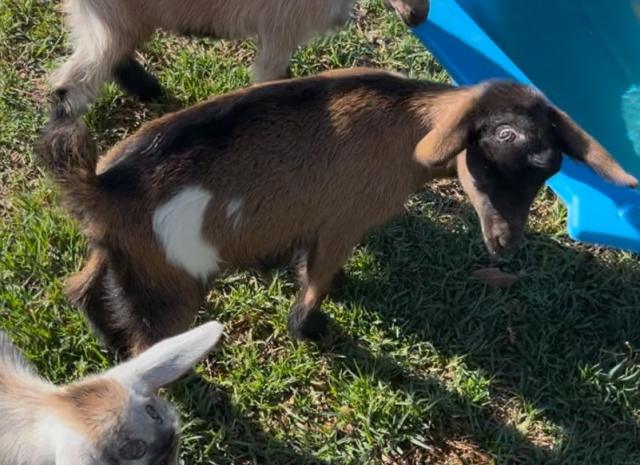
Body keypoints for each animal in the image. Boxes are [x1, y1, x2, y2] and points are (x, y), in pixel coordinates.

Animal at [37, 68, 638, 356]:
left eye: (549, 169)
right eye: (494, 145)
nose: (506, 241)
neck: (405, 127)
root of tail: (102, 187)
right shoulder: (342, 222)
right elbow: (317, 279)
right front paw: (312, 329)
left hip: (117, 254)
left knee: (80, 288)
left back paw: (104, 337)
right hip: (171, 283)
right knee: (148, 337)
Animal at [49, 0, 429, 119]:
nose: (419, 17)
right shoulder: (281, 30)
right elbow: (273, 78)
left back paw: (151, 91)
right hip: (115, 17)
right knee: (77, 79)